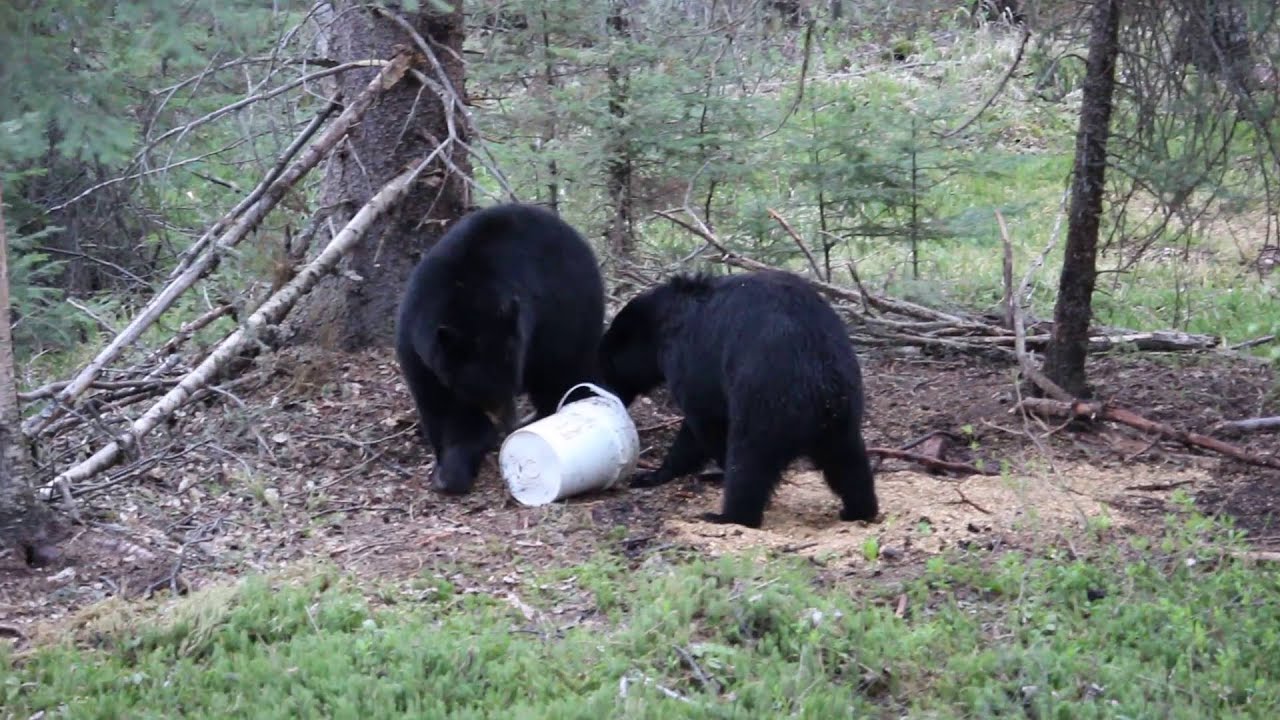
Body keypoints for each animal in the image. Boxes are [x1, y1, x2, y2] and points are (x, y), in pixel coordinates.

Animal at [395, 203, 605, 495]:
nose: (509, 424)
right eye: (486, 393)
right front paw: (449, 470)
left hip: (570, 311)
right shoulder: (418, 353)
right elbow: (441, 409)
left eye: (513, 384)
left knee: (563, 370)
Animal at [597, 269, 879, 529]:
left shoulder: (692, 357)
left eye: (607, 369)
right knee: (848, 462)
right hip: (843, 411)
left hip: (767, 400)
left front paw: (656, 474)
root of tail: (821, 378)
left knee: (749, 459)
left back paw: (728, 515)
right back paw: (859, 510)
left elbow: (704, 418)